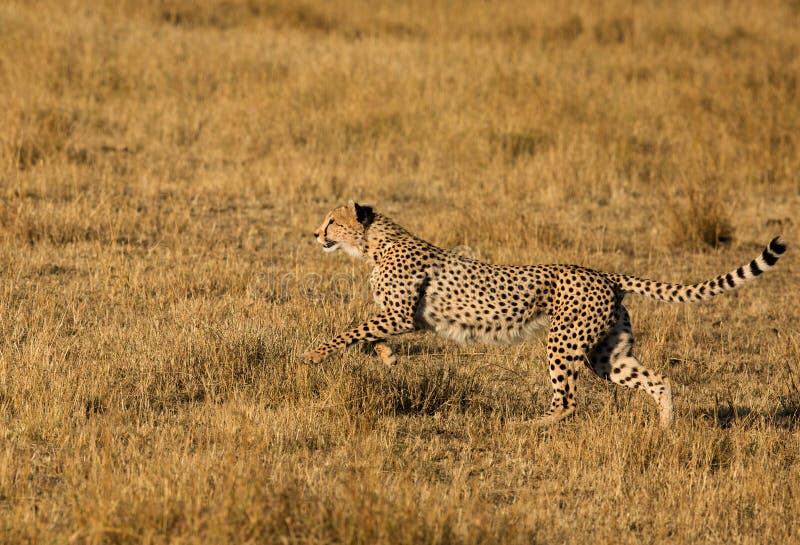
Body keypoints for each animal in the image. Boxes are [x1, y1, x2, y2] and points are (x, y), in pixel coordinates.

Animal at [303, 201, 787, 428]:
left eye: (332, 221)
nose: (315, 234)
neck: (373, 244)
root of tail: (602, 272)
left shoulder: (402, 314)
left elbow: (349, 330)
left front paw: (311, 355)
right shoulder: (403, 317)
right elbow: (367, 333)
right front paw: (387, 357)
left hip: (563, 341)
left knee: (568, 401)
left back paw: (530, 425)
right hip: (606, 355)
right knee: (658, 380)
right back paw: (666, 428)